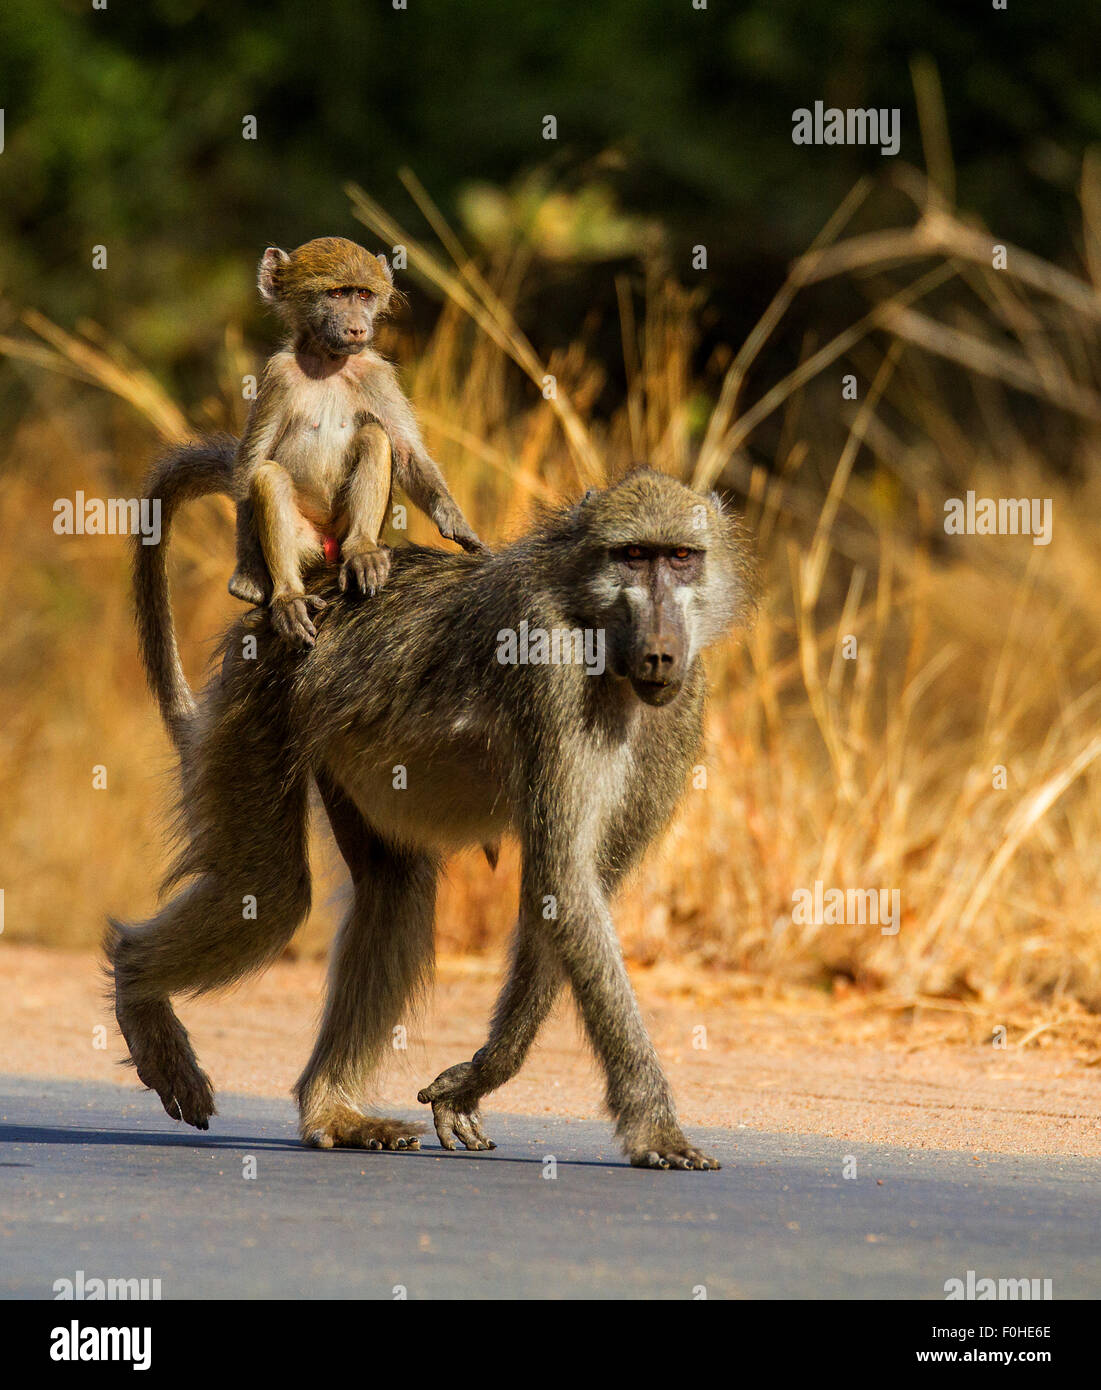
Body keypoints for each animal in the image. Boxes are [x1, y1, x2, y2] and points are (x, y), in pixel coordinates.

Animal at [109, 461, 754, 1168]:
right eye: (633, 557)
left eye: (682, 558)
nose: (662, 651)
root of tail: (302, 593)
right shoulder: (549, 668)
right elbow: (565, 882)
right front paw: (656, 1129)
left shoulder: (685, 699)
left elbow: (578, 890)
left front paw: (477, 1078)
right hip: (261, 702)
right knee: (270, 895)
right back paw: (138, 987)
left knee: (392, 891)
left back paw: (333, 1112)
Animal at [228, 235, 486, 647]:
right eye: (336, 294)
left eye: (363, 294)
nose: (356, 329)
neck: (328, 362)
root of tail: (331, 547)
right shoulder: (277, 375)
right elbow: (251, 465)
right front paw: (249, 576)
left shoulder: (377, 373)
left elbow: (408, 453)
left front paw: (457, 524)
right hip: (306, 546)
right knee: (268, 476)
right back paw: (288, 598)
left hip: (345, 529)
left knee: (375, 436)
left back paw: (363, 552)